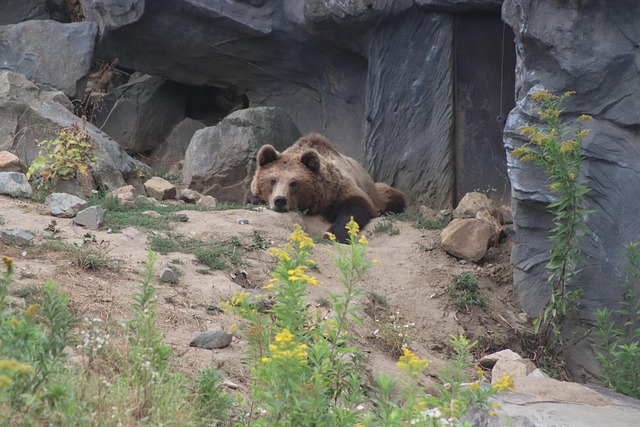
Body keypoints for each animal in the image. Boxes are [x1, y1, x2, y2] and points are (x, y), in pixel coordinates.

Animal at [246, 133, 406, 243]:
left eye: (294, 183)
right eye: (272, 180)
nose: (280, 200)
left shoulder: (340, 188)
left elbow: (356, 206)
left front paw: (332, 235)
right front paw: (257, 199)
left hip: (377, 192)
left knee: (393, 196)